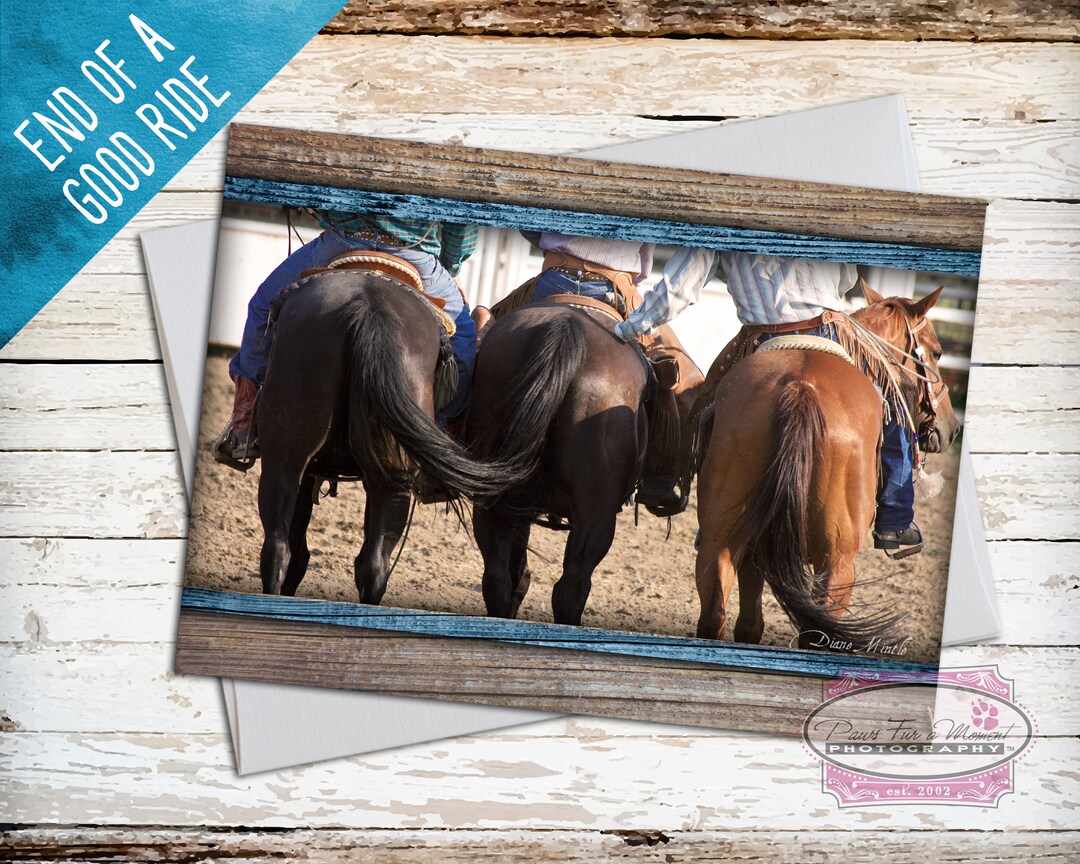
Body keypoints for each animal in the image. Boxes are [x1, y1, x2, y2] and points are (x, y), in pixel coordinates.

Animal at [692, 286, 960, 648]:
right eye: (936, 352)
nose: (952, 428)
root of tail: (799, 389)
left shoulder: (753, 552)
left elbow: (749, 622)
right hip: (838, 562)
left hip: (719, 538)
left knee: (714, 614)